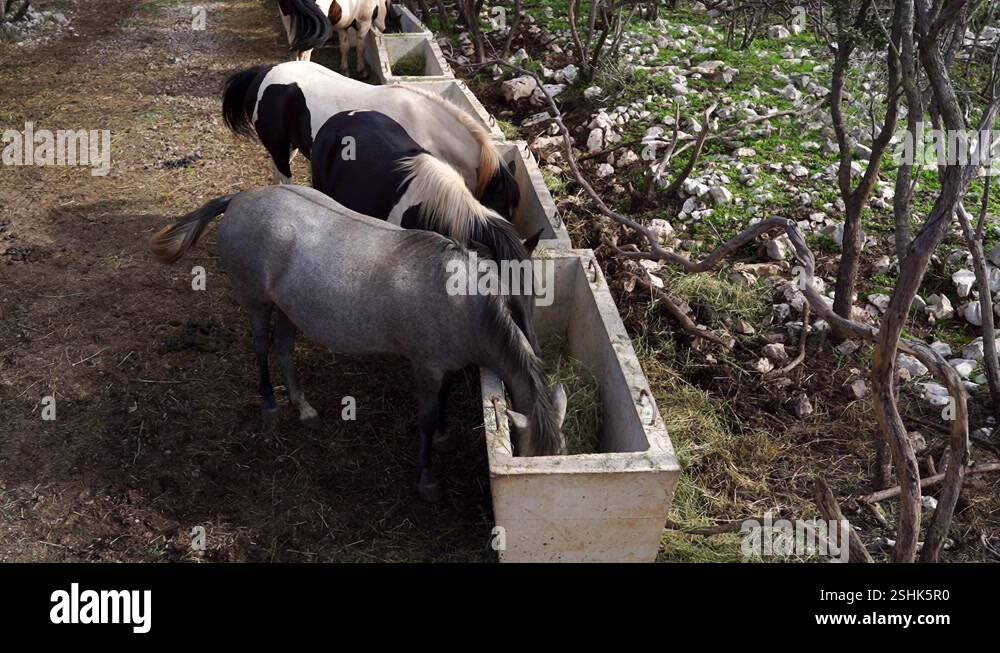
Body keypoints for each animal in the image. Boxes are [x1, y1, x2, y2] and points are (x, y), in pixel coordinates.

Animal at [148, 185, 567, 501]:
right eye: (528, 453)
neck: (463, 300)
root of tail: (238, 199)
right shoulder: (425, 366)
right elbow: (426, 419)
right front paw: (427, 480)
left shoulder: (443, 366)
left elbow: (443, 404)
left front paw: (445, 434)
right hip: (257, 303)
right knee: (261, 348)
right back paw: (270, 403)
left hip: (288, 309)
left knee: (283, 348)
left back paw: (303, 407)